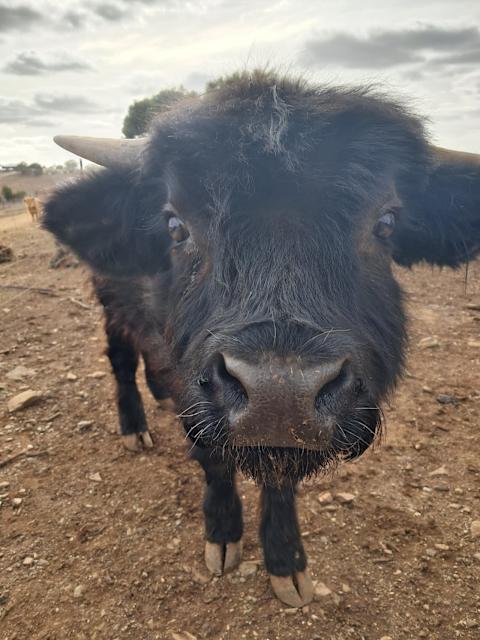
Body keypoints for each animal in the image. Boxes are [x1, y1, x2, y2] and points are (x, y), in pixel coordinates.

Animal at [42, 70, 480, 608]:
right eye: (175, 225)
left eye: (386, 223)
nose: (280, 396)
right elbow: (213, 459)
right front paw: (223, 534)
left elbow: (280, 478)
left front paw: (286, 560)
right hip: (109, 305)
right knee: (122, 359)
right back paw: (135, 427)